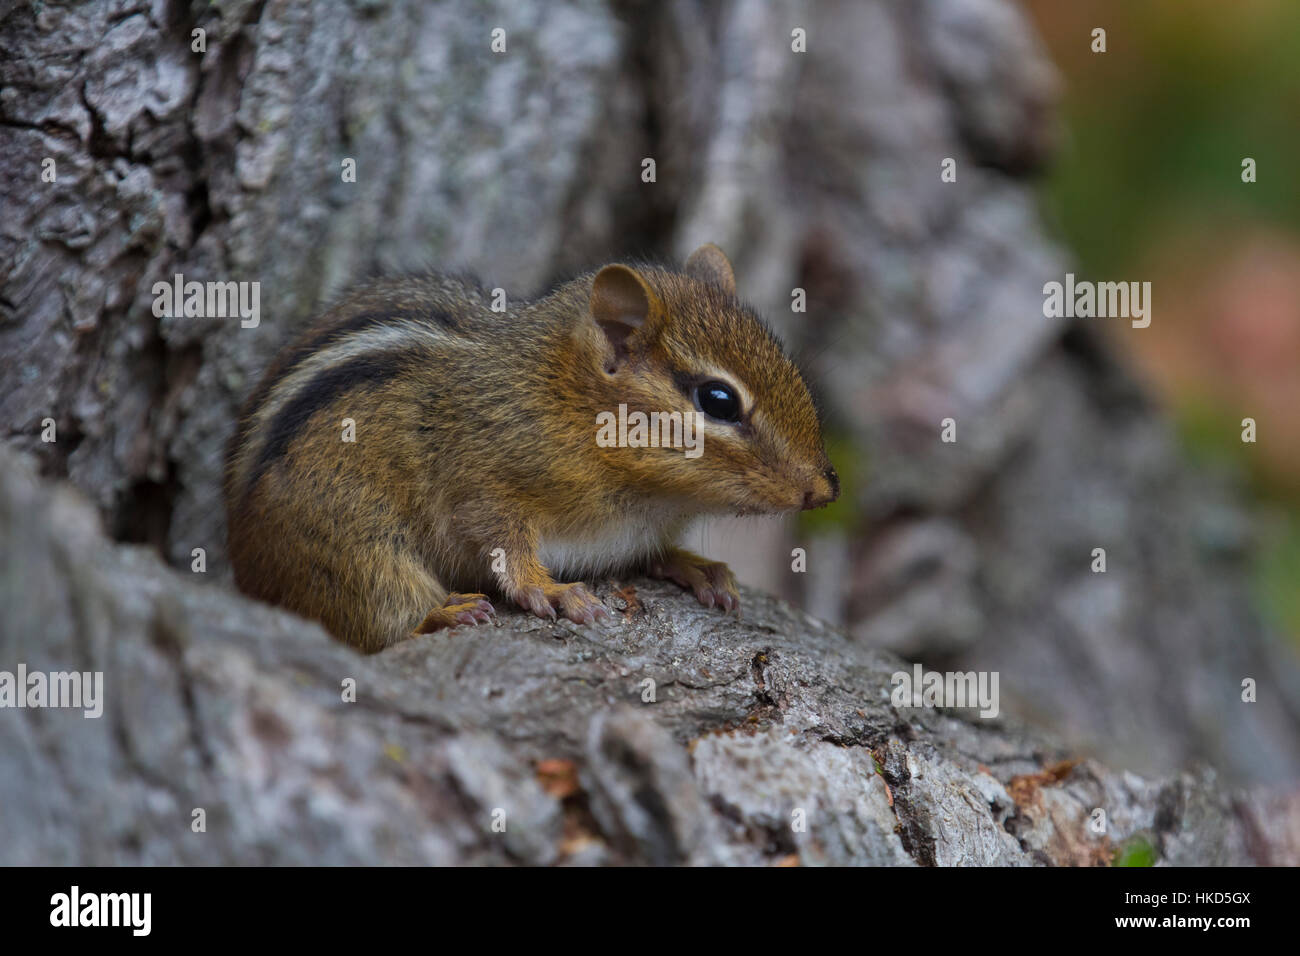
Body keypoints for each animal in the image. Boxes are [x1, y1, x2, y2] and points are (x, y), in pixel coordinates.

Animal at [224, 244, 839, 652]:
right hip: (349, 545)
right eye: (718, 400)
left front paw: (693, 565)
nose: (826, 488)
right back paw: (440, 613)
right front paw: (551, 590)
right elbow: (504, 544)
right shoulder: (483, 481)